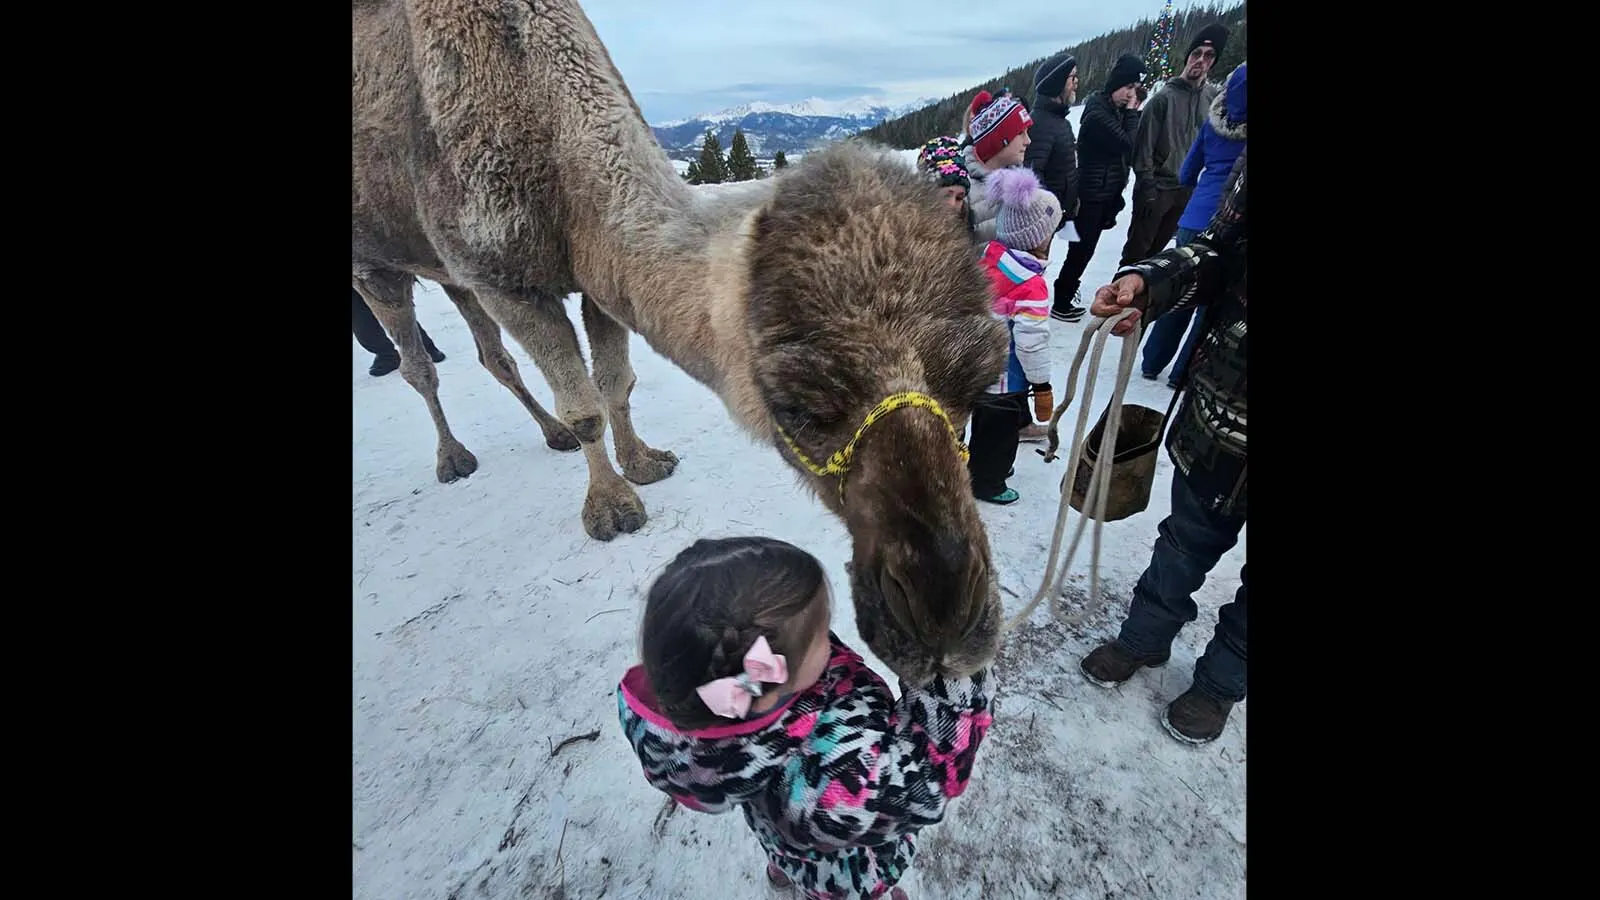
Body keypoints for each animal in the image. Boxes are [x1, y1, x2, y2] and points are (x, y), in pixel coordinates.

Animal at [352, 0, 1011, 682]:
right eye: (797, 409)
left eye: (979, 385)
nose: (944, 618)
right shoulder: (499, 275)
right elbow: (585, 406)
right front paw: (611, 507)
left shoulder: (598, 279)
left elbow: (616, 383)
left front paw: (643, 463)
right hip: (378, 263)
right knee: (420, 365)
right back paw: (453, 459)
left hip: (447, 277)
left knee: (493, 357)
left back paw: (544, 435)